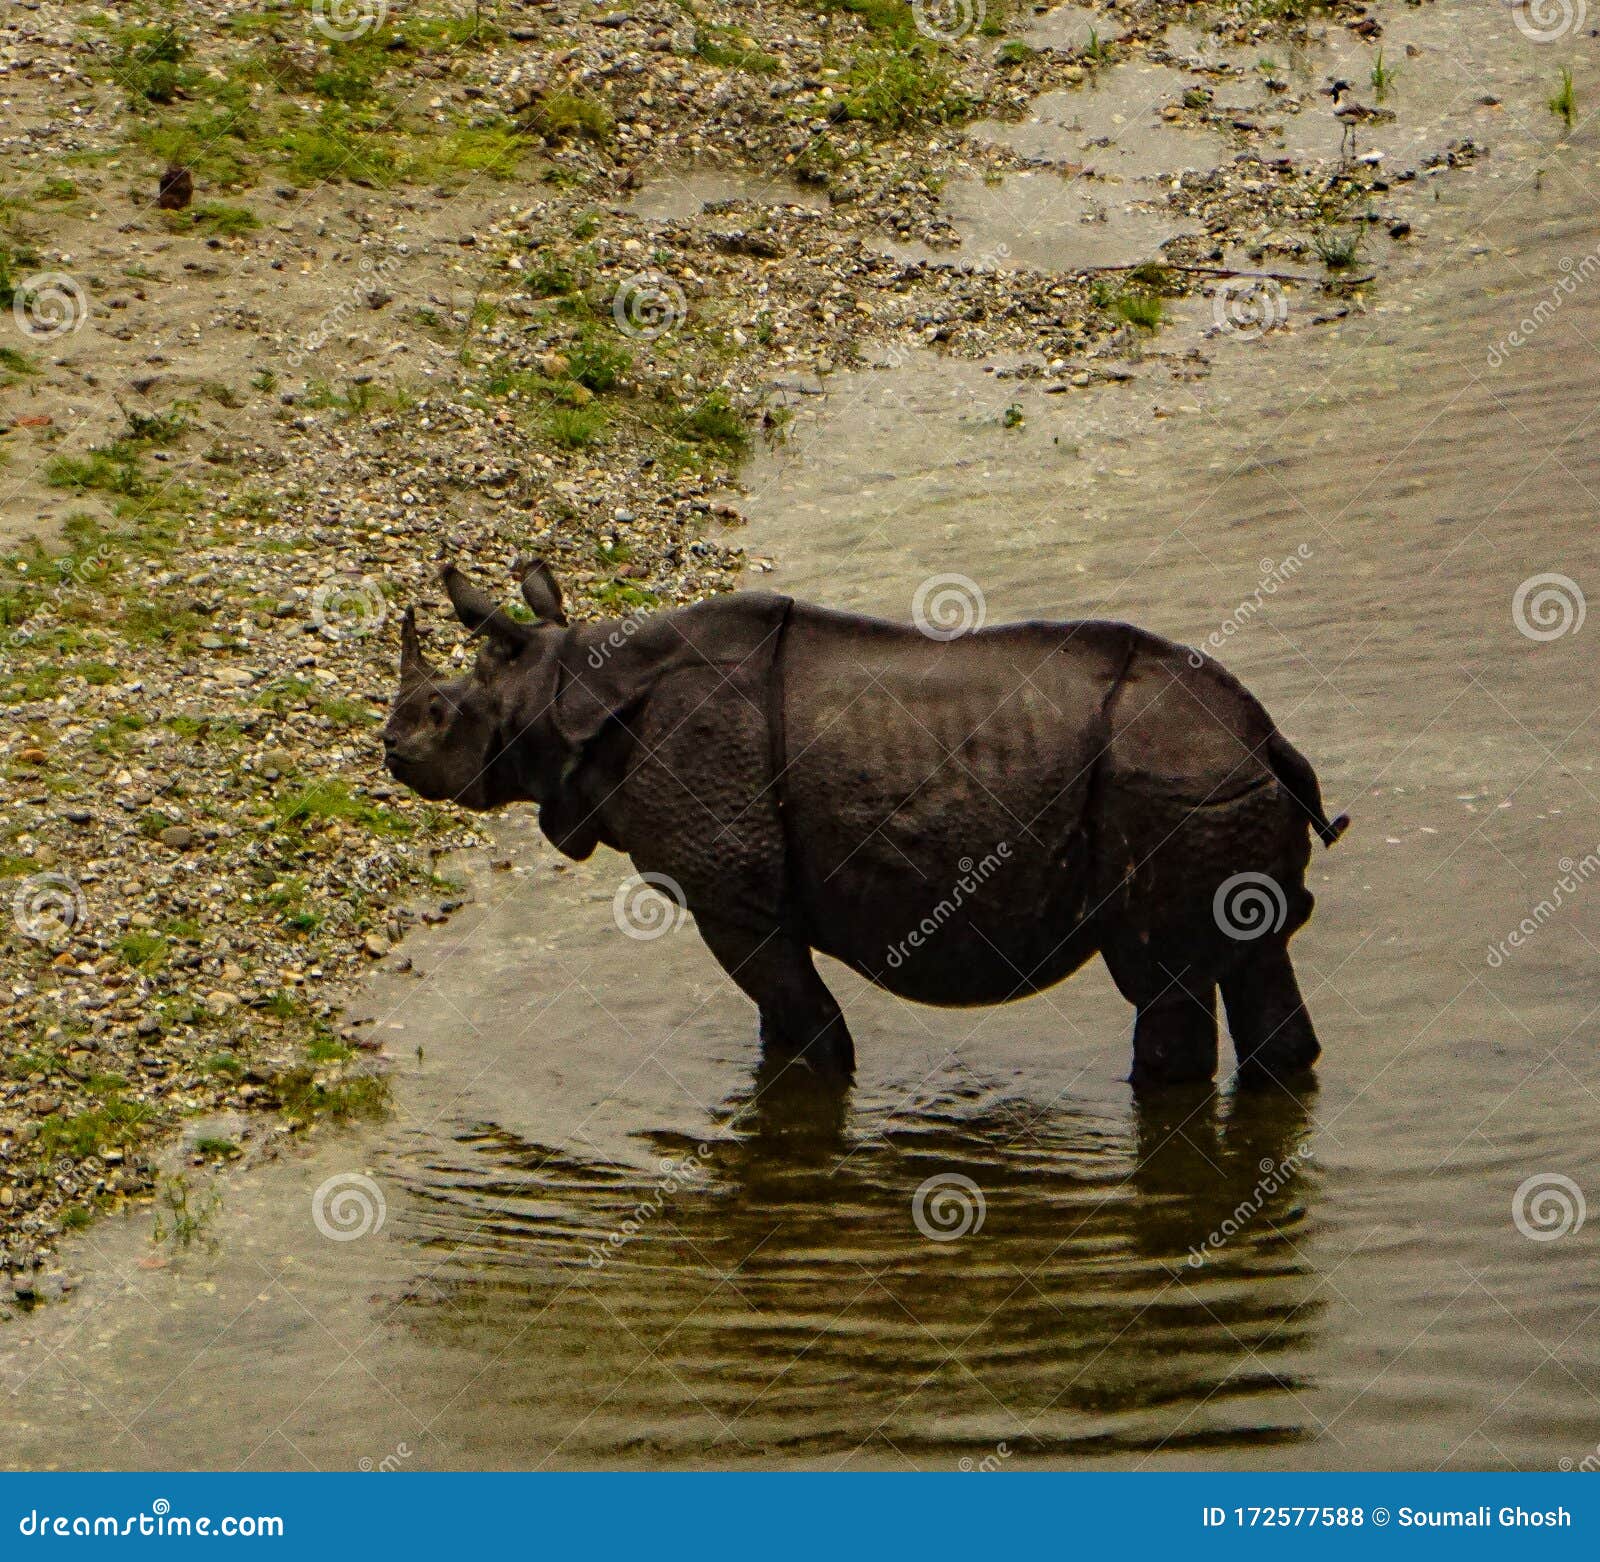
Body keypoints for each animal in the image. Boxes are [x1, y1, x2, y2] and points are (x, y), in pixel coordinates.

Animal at [381, 559, 1347, 1091]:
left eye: (442, 715)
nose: (389, 748)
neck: (569, 689)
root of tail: (1267, 739)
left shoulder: (734, 901)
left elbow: (805, 1023)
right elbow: (781, 1023)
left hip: (1173, 785)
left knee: (1163, 979)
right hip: (1209, 779)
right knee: (1252, 961)